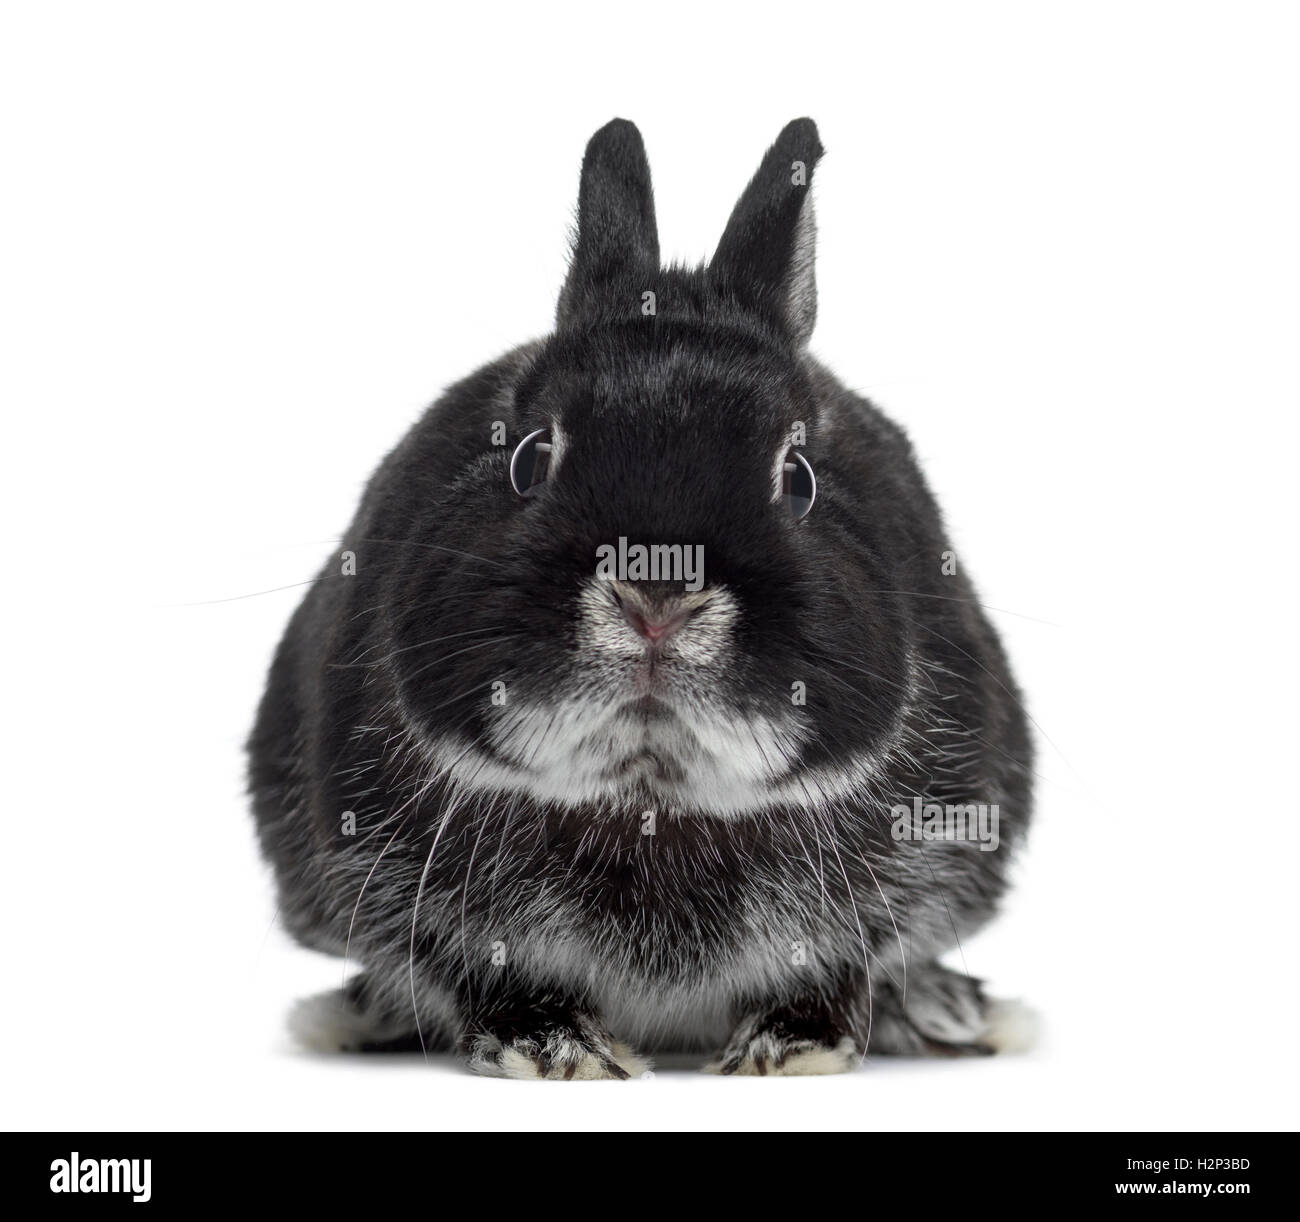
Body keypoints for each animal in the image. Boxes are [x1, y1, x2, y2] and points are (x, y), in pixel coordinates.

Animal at [248, 117, 1035, 1078]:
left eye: (799, 477)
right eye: (529, 457)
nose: (657, 591)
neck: (652, 805)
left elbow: (852, 958)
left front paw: (795, 1044)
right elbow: (469, 966)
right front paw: (556, 1047)